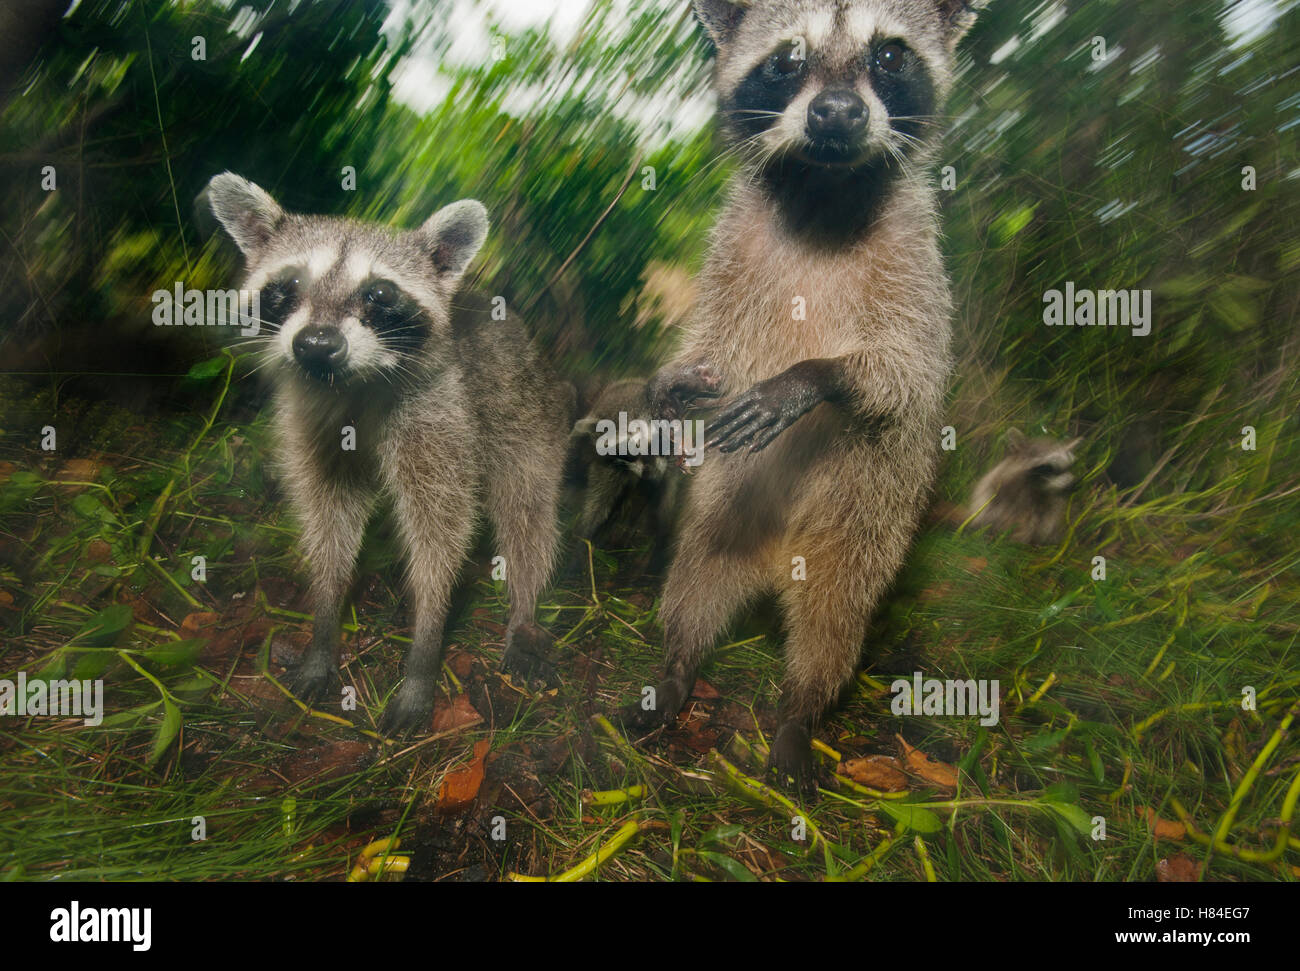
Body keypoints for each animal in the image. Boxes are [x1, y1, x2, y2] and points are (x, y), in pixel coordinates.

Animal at [206, 173, 568, 735]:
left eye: (378, 293)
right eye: (289, 285)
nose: (315, 344)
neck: (349, 384)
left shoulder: (440, 413)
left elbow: (442, 532)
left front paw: (424, 649)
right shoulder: (314, 422)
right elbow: (328, 519)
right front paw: (325, 622)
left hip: (531, 420)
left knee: (527, 517)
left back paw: (524, 612)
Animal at [620, 0, 988, 787]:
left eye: (890, 55)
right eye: (788, 57)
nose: (838, 112)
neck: (824, 182)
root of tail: (774, 563)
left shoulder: (919, 266)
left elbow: (906, 373)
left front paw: (814, 377)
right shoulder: (731, 248)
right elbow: (713, 341)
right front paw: (673, 381)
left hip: (864, 524)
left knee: (832, 621)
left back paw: (799, 711)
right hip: (727, 515)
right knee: (695, 575)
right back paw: (677, 665)